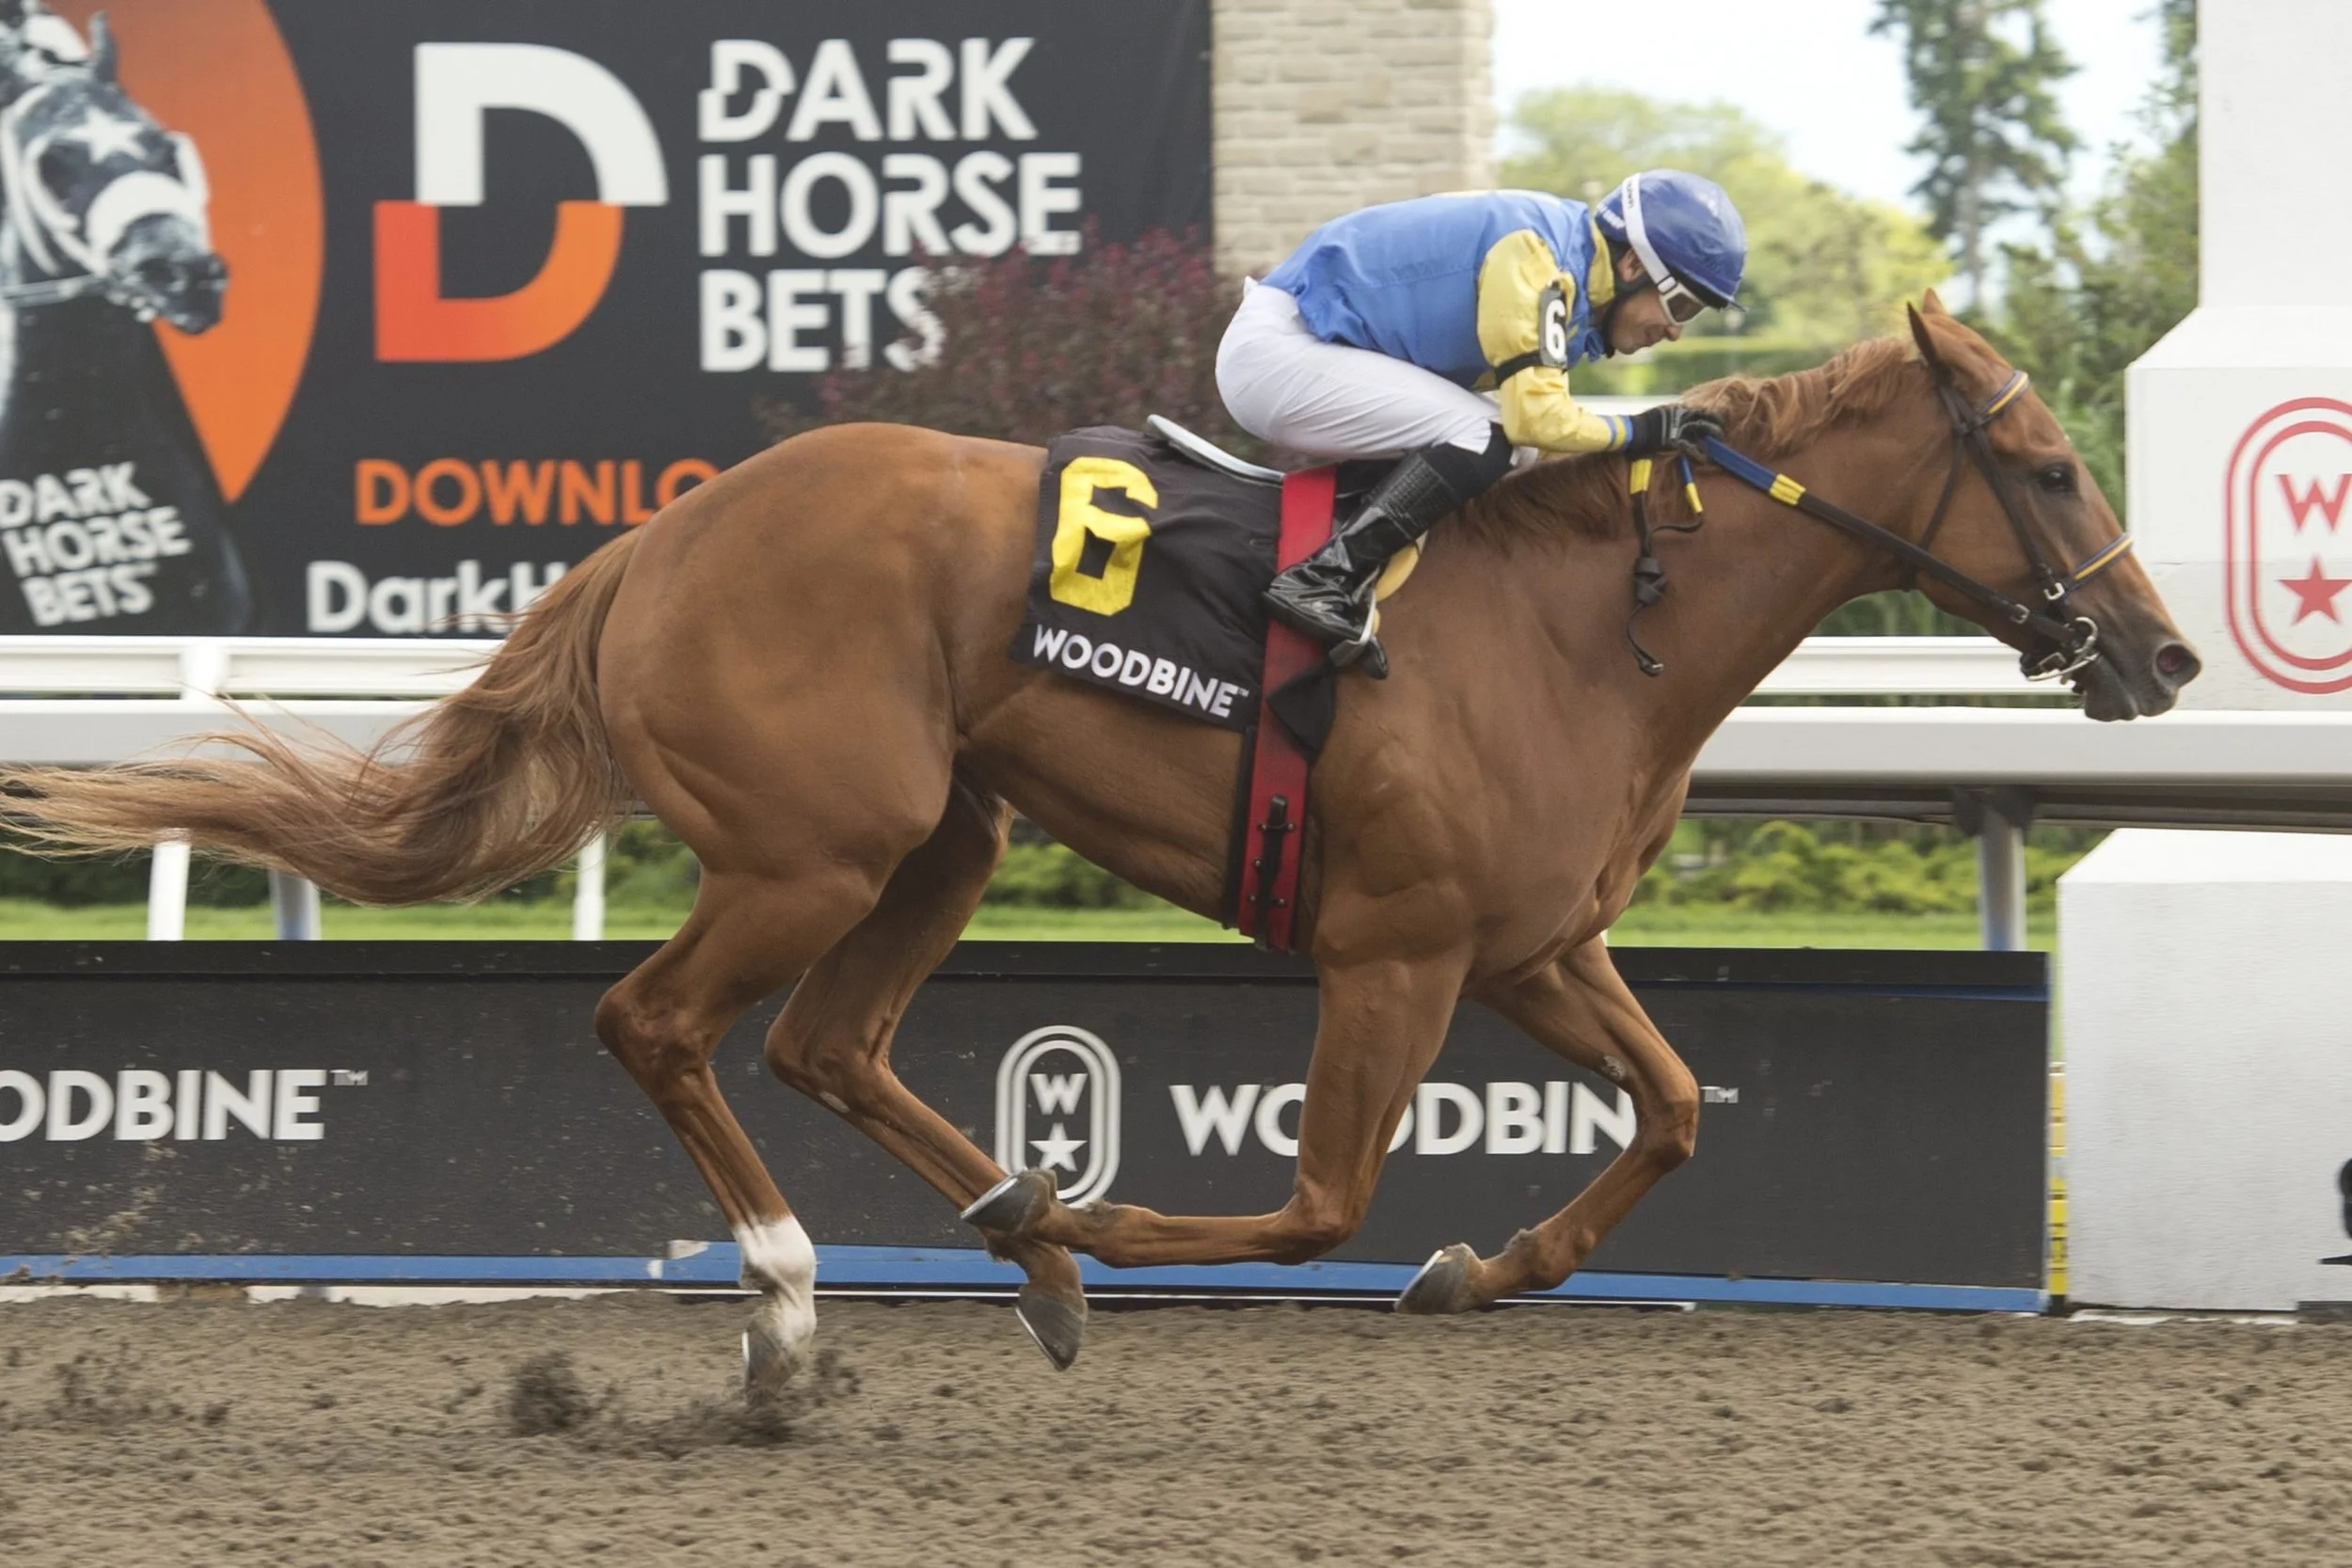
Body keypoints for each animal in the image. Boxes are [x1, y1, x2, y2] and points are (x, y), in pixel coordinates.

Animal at [0, 295, 2199, 1396]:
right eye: (2044, 459)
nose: (2166, 653)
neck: (1589, 614)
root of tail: (665, 530)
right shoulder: (1395, 950)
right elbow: (1314, 1201)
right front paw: (1118, 1217)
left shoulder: (1529, 946)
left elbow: (1665, 1111)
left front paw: (1475, 1266)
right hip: (815, 845)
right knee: (661, 1026)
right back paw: (805, 1295)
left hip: (941, 838)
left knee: (822, 1042)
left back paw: (1013, 1238)